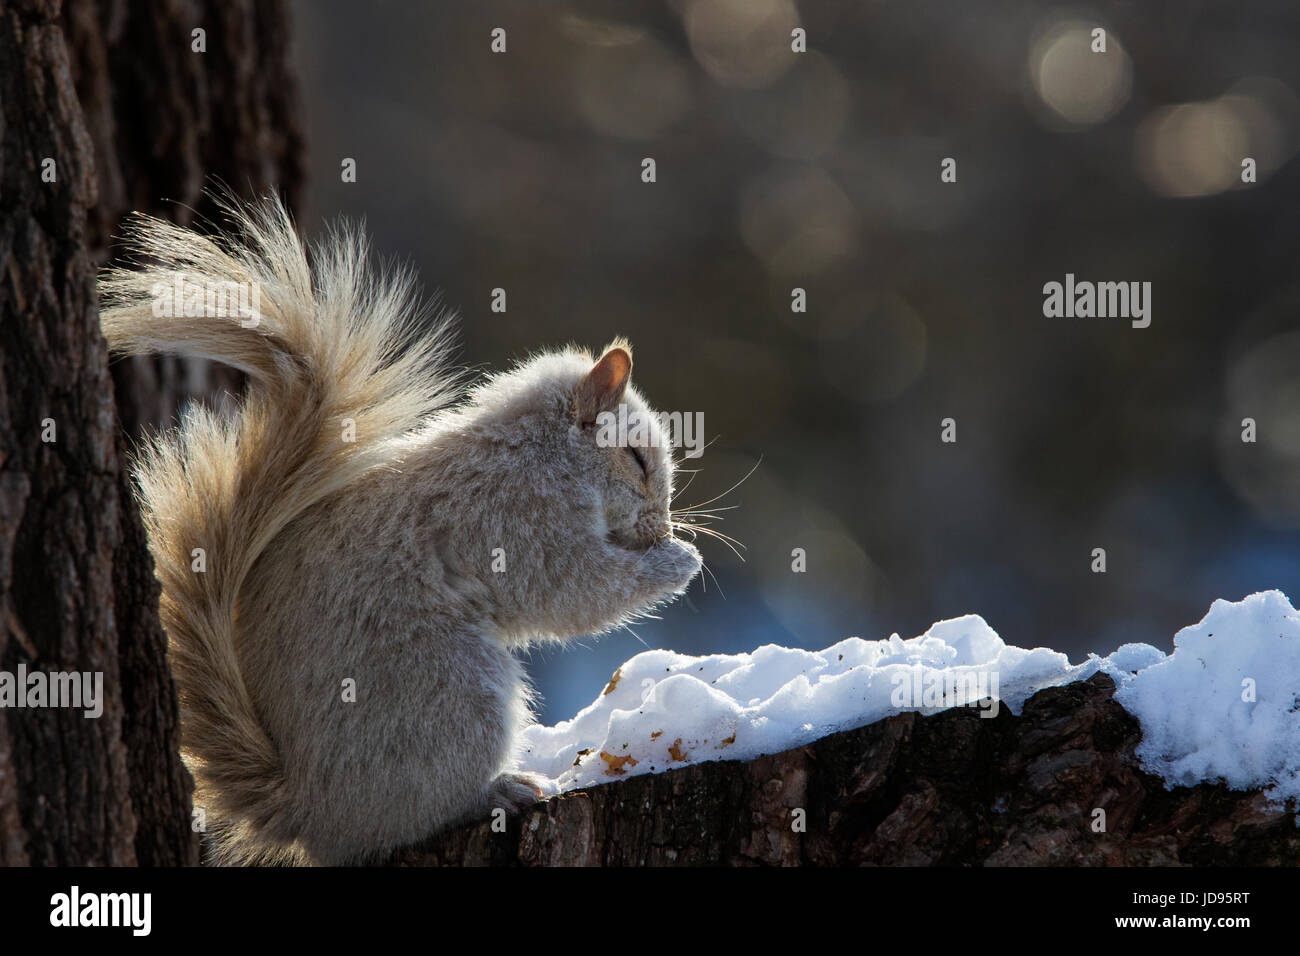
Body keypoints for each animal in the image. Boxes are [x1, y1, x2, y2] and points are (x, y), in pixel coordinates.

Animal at [98, 195, 703, 865]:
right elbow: (574, 592)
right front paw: (680, 561)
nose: (660, 525)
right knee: (421, 814)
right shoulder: (519, 520)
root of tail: (309, 811)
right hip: (456, 696)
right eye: (638, 459)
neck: (538, 450)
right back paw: (501, 790)